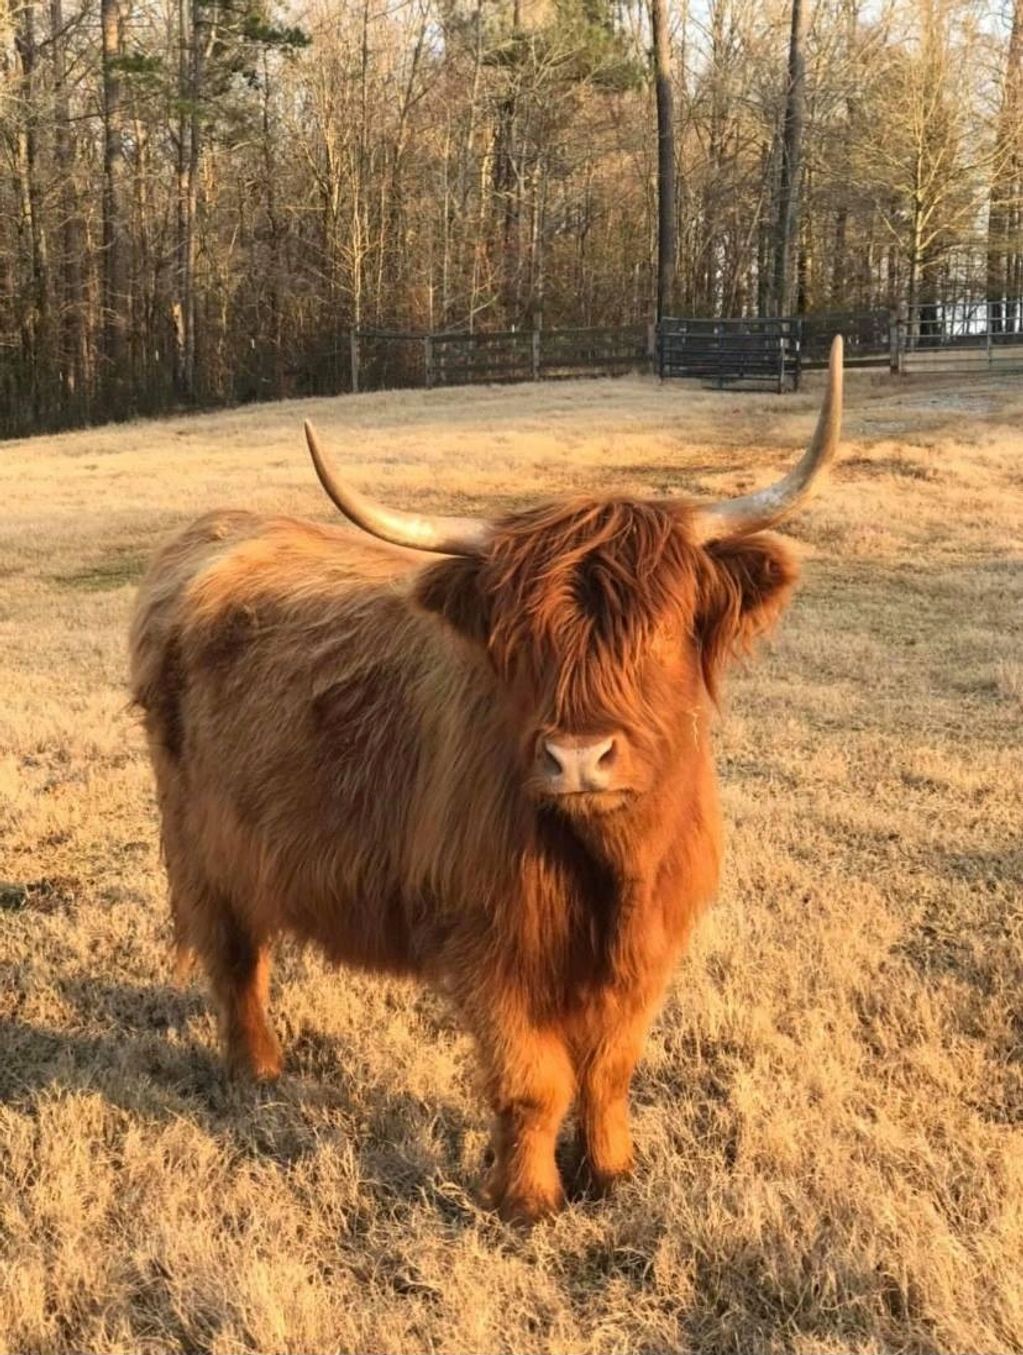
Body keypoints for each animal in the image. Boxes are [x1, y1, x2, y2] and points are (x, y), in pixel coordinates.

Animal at [129, 337, 843, 1223]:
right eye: (523, 641)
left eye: (662, 632)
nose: (577, 757)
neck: (610, 866)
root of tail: (216, 529)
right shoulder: (486, 939)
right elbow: (533, 1080)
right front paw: (526, 1199)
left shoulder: (651, 941)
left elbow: (610, 1066)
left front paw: (611, 1172)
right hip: (200, 844)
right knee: (234, 957)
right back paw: (258, 1070)